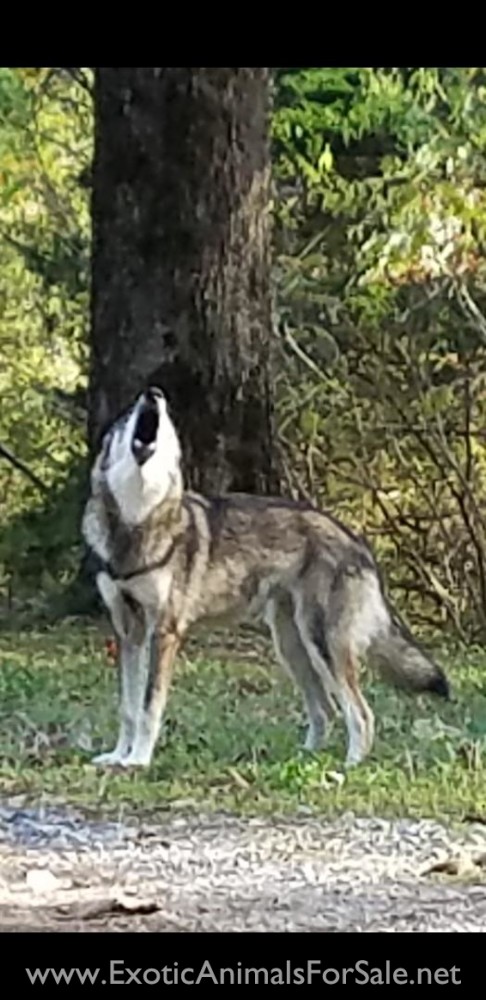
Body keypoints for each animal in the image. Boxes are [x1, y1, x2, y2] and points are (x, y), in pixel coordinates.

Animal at [82, 386, 450, 770]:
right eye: (127, 416)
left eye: (167, 421)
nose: (153, 394)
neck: (137, 521)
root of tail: (357, 541)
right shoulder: (129, 632)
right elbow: (128, 708)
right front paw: (117, 756)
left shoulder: (164, 633)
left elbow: (149, 707)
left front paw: (138, 760)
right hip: (292, 647)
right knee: (326, 710)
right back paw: (307, 758)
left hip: (322, 645)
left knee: (361, 714)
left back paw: (348, 767)